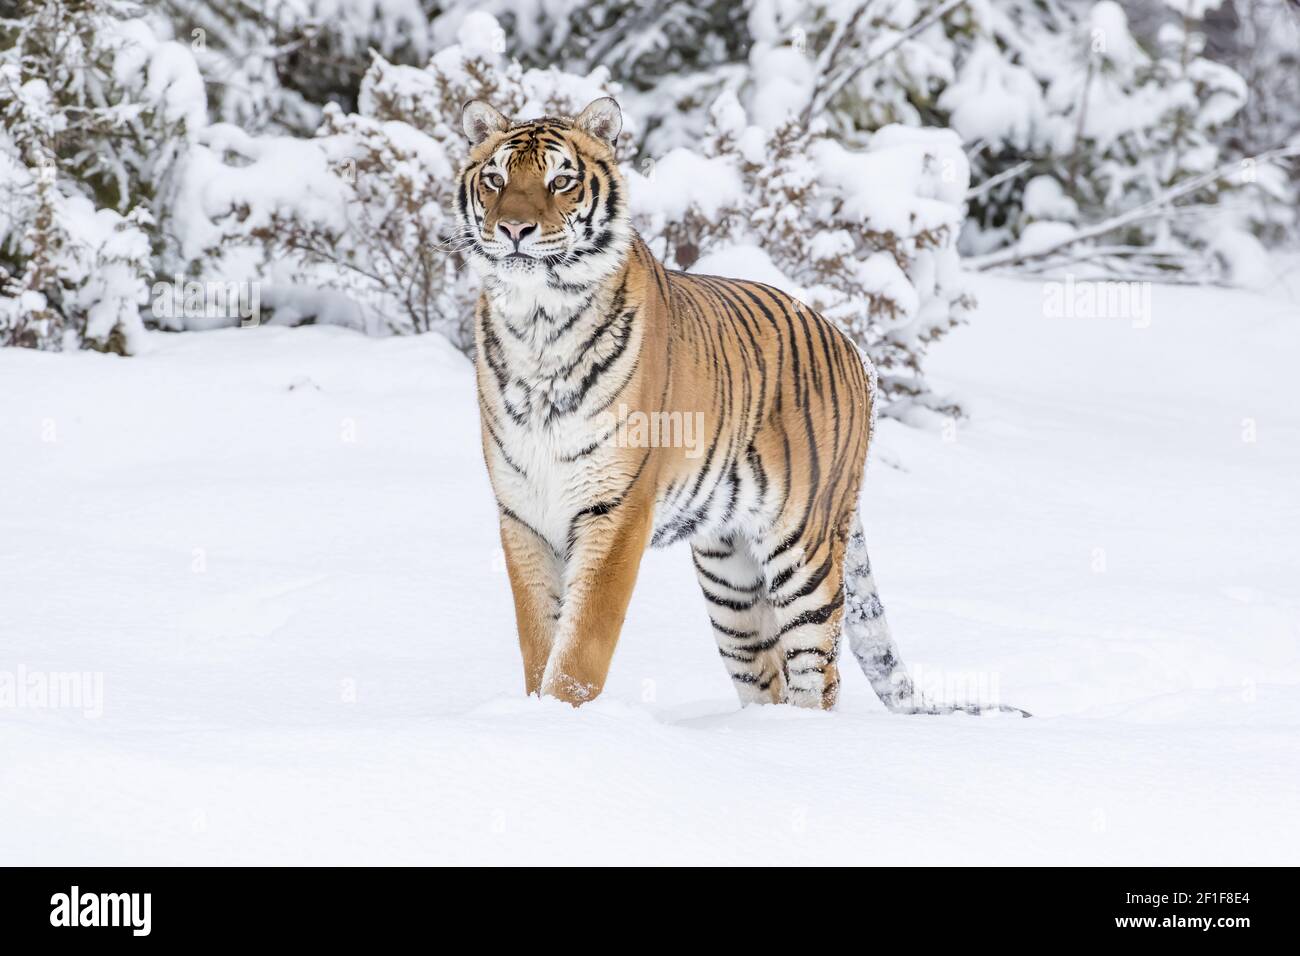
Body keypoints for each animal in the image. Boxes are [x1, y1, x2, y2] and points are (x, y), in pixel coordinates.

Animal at [455, 96, 1026, 715]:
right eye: (495, 179)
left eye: (561, 180)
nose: (513, 229)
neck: (536, 323)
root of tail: (857, 351)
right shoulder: (523, 514)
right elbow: (539, 641)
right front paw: (535, 713)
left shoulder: (616, 509)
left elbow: (580, 649)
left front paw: (562, 716)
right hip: (727, 571)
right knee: (765, 675)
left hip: (806, 548)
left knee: (818, 676)